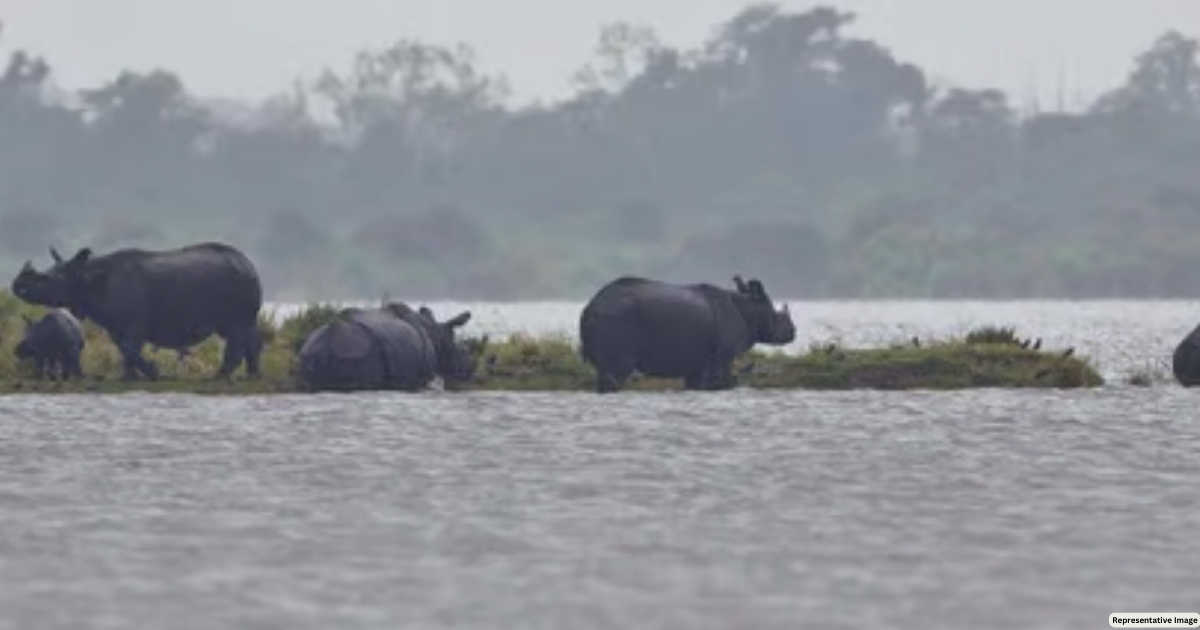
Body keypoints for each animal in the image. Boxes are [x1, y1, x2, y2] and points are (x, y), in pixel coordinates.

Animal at [10, 242, 263, 381]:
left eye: (48, 279)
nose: (17, 285)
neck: (89, 276)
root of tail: (250, 264)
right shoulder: (116, 325)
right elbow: (124, 350)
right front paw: (129, 378)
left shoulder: (135, 324)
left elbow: (130, 348)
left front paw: (153, 373)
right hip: (240, 286)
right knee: (246, 332)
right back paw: (251, 376)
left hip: (237, 288)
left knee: (236, 332)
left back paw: (219, 377)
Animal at [297, 302, 476, 392]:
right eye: (458, 350)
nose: (470, 369)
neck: (435, 333)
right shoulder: (421, 378)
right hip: (357, 352)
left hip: (310, 352)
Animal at [579, 275, 796, 393]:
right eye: (776, 317)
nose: (792, 332)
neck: (749, 307)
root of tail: (590, 307)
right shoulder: (722, 357)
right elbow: (719, 381)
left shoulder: (699, 364)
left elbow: (694, 383)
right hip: (616, 319)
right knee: (616, 374)